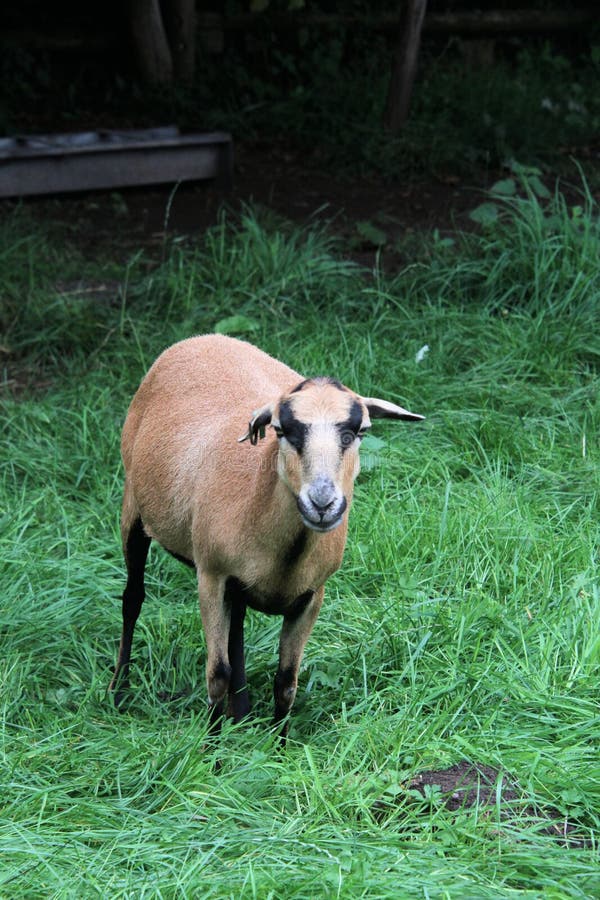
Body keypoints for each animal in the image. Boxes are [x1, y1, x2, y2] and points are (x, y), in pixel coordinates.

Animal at [109, 334, 423, 735]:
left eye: (358, 432)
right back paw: (118, 692)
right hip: (132, 508)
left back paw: (240, 710)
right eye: (282, 430)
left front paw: (279, 743)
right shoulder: (211, 577)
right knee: (132, 599)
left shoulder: (312, 594)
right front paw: (211, 747)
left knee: (238, 627)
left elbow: (286, 681)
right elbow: (217, 674)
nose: (322, 502)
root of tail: (203, 338)